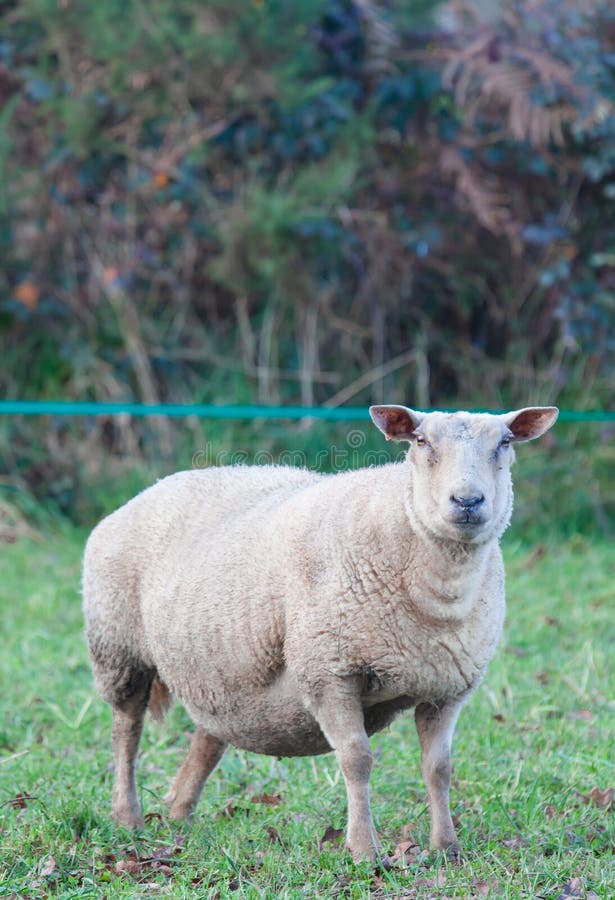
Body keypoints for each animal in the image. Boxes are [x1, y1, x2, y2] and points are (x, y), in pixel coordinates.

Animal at [82, 404, 558, 866]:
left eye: (505, 442)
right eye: (421, 441)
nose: (468, 500)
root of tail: (150, 490)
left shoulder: (448, 687)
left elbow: (438, 768)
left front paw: (447, 848)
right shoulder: (329, 672)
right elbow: (357, 759)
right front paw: (364, 850)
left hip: (223, 671)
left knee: (208, 737)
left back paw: (179, 813)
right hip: (118, 648)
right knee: (126, 732)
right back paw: (127, 817)